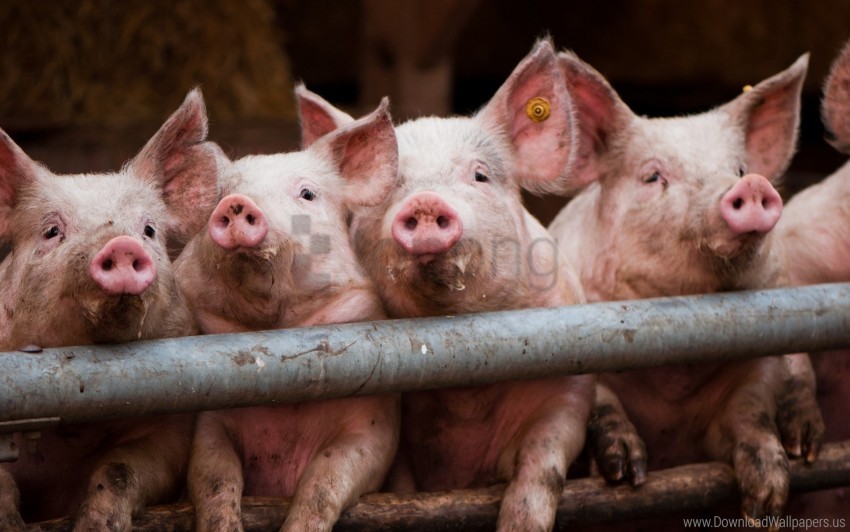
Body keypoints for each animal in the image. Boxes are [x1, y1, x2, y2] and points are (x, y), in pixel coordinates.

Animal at [0, 89, 220, 530]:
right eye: (52, 231)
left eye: (148, 230)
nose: (121, 244)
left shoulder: (170, 425)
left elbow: (121, 469)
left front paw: (97, 525)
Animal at [176, 99, 400, 532]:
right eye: (221, 194)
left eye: (307, 193)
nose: (237, 203)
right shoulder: (208, 419)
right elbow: (214, 477)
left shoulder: (373, 425)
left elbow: (324, 480)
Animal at [547, 50, 823, 526]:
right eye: (653, 176)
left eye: (740, 168)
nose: (750, 185)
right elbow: (602, 402)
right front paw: (626, 474)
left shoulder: (759, 361)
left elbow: (751, 414)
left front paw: (765, 505)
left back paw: (806, 446)